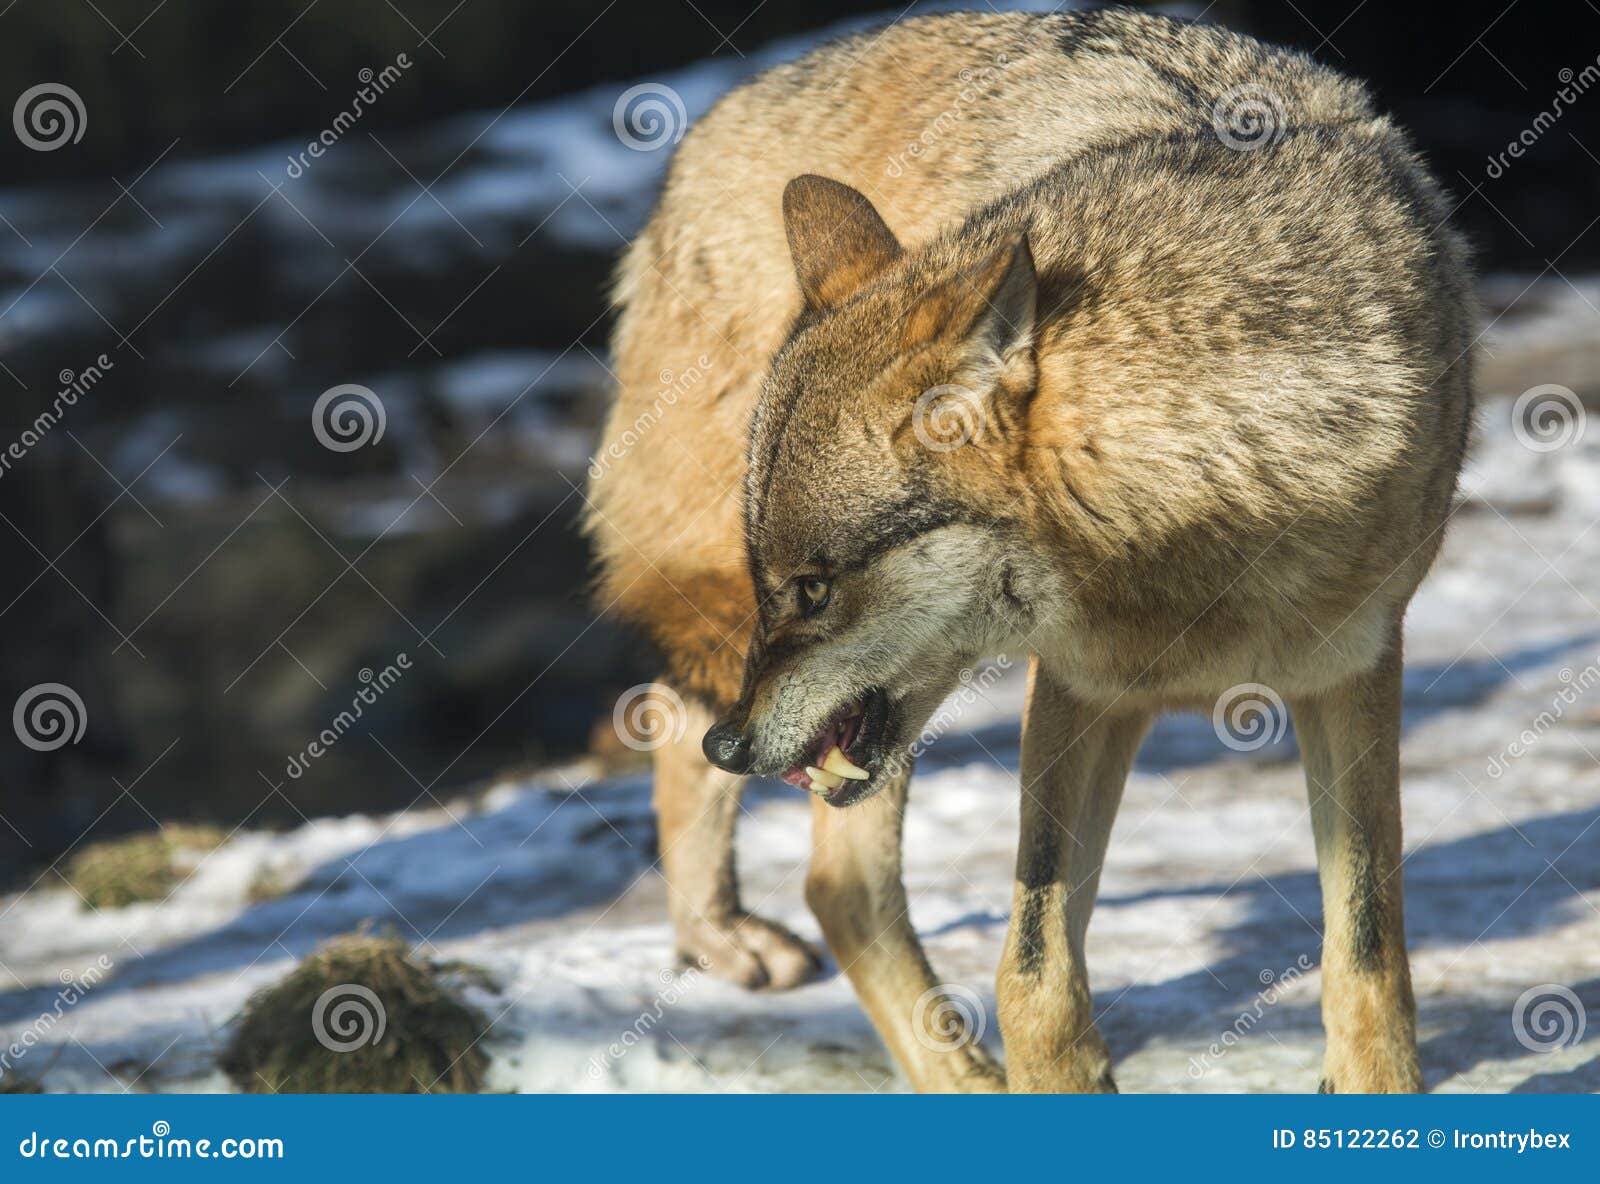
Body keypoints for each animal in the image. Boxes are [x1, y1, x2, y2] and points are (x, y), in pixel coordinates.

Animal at [586, 8, 1473, 1093]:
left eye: (814, 588)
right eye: (783, 584)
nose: (737, 746)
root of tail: (714, 121)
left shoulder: (1350, 671)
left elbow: (1369, 952)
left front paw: (1377, 1085)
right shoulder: (1076, 687)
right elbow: (1032, 974)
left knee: (731, 779)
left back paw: (721, 936)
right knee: (829, 873)